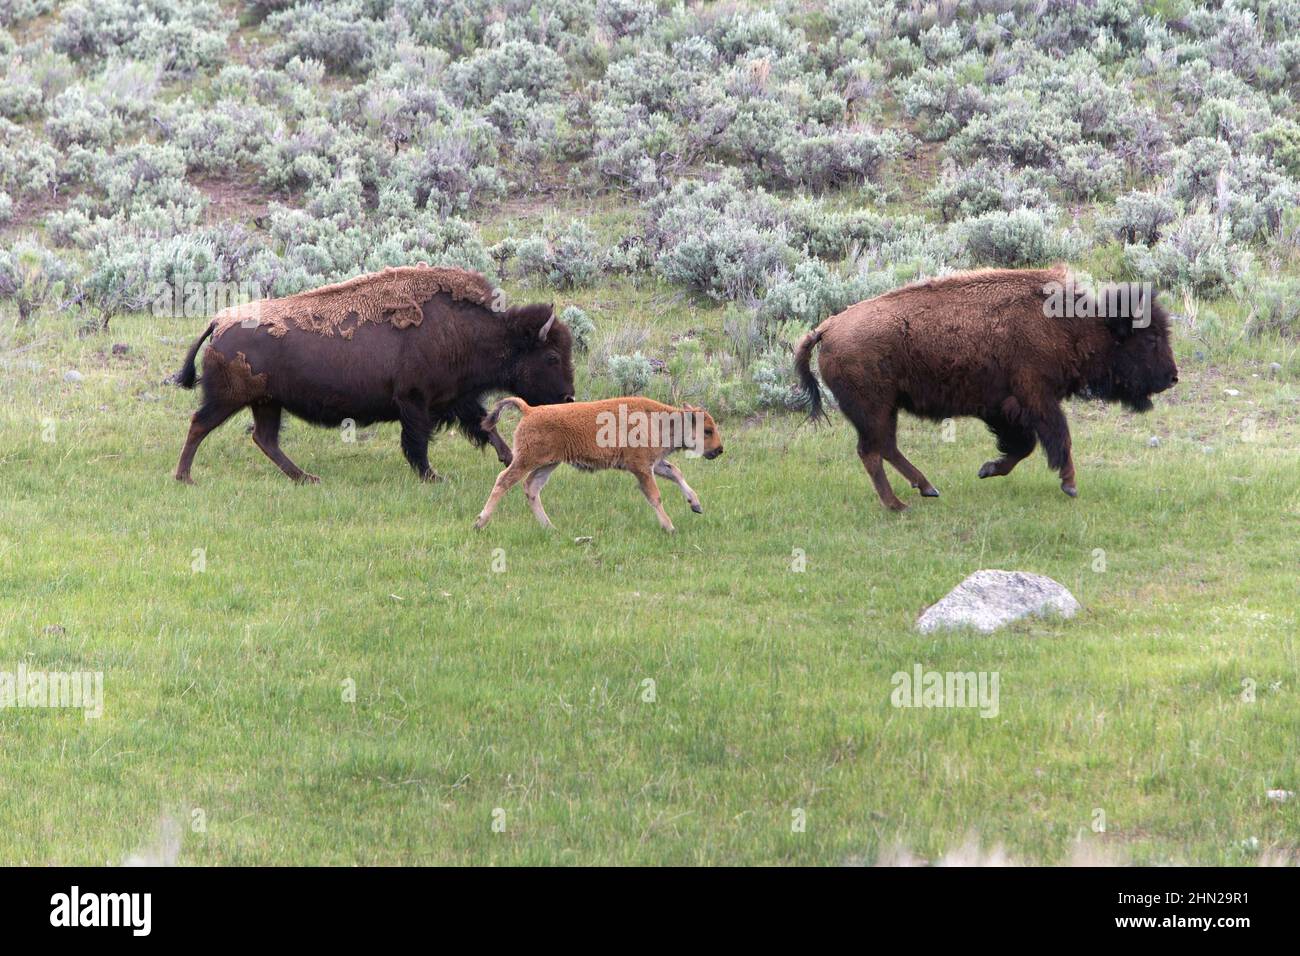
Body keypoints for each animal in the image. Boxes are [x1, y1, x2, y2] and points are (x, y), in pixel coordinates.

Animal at [172, 265, 574, 483]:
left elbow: (485, 426)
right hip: (229, 400)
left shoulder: (456, 399)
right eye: (552, 356)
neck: (466, 330)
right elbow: (418, 442)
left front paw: (508, 458)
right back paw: (185, 477)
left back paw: (307, 478)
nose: (569, 397)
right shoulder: (415, 402)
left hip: (266, 402)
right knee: (199, 425)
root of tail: (218, 321)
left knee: (265, 439)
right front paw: (432, 476)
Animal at [794, 266, 1178, 510]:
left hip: (886, 410)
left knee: (884, 447)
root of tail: (827, 328)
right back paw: (898, 504)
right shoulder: (1036, 398)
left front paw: (988, 469)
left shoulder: (1006, 408)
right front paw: (1069, 484)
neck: (1071, 324)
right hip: (874, 409)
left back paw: (927, 489)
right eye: (1151, 338)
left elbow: (1024, 447)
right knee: (871, 451)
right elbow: (1057, 437)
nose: (1173, 377)